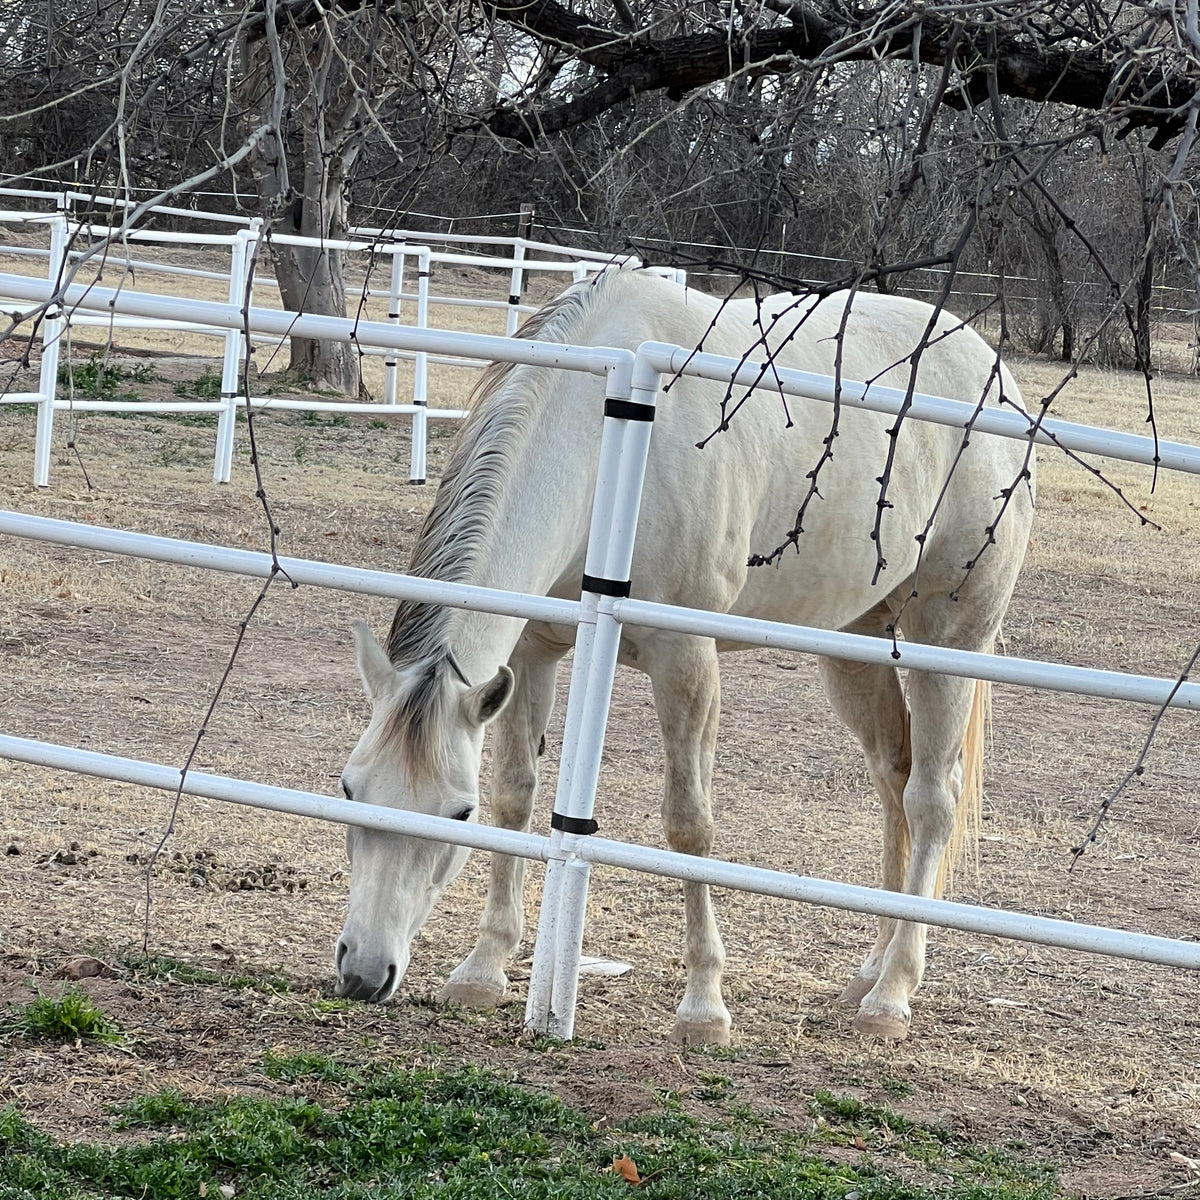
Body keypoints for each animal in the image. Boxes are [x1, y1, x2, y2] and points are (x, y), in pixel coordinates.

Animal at [334, 268, 1035, 1043]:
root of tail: (993, 371)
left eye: (455, 814)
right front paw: (482, 971)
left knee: (932, 800)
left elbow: (689, 824)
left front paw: (704, 1006)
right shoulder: (538, 650)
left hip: (951, 643)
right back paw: (869, 972)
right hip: (855, 648)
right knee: (894, 784)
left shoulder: (686, 661)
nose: (363, 972)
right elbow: (517, 796)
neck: (609, 443)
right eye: (350, 790)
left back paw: (892, 995)